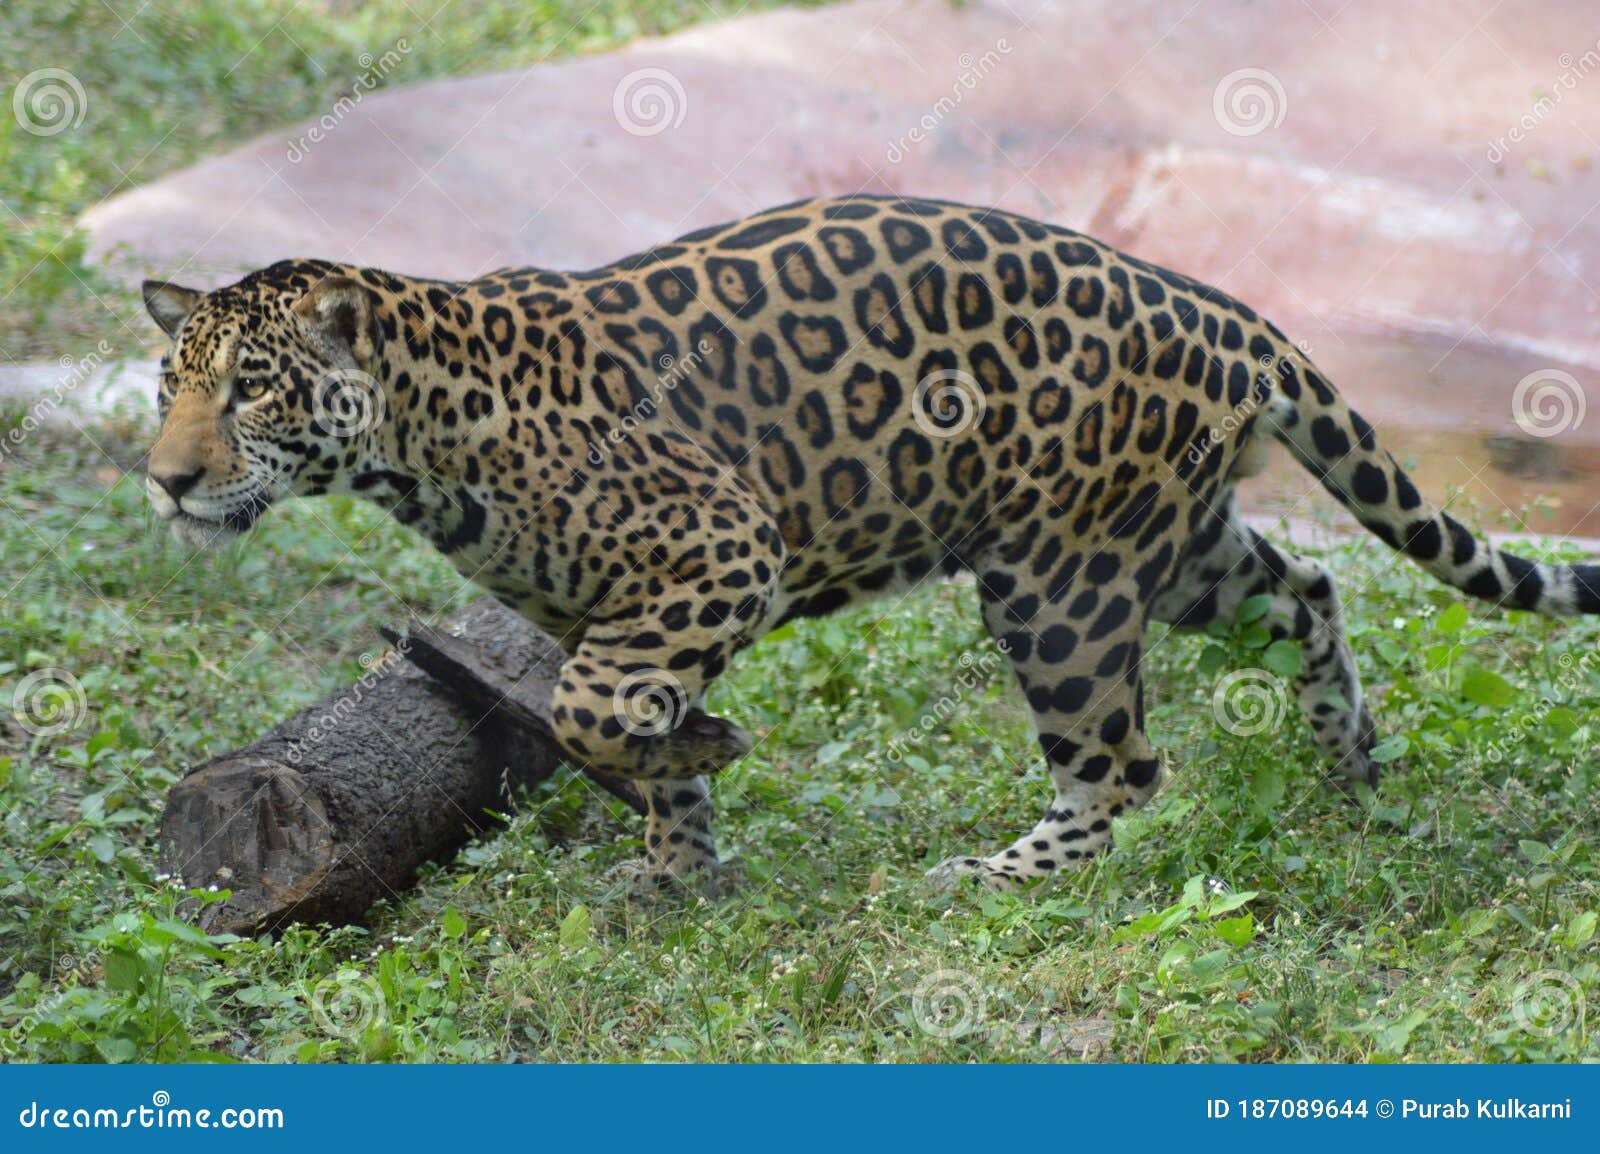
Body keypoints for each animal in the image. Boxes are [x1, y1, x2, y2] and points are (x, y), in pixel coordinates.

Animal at [141, 194, 1600, 891]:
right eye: (170, 383)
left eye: (253, 389)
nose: (165, 481)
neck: (415, 436)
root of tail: (1216, 303)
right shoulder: (611, 609)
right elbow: (613, 730)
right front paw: (677, 867)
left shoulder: (725, 545)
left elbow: (595, 714)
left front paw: (703, 763)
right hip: (1172, 547)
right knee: (1310, 584)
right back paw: (1348, 759)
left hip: (1056, 583)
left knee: (1124, 767)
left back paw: (998, 875)